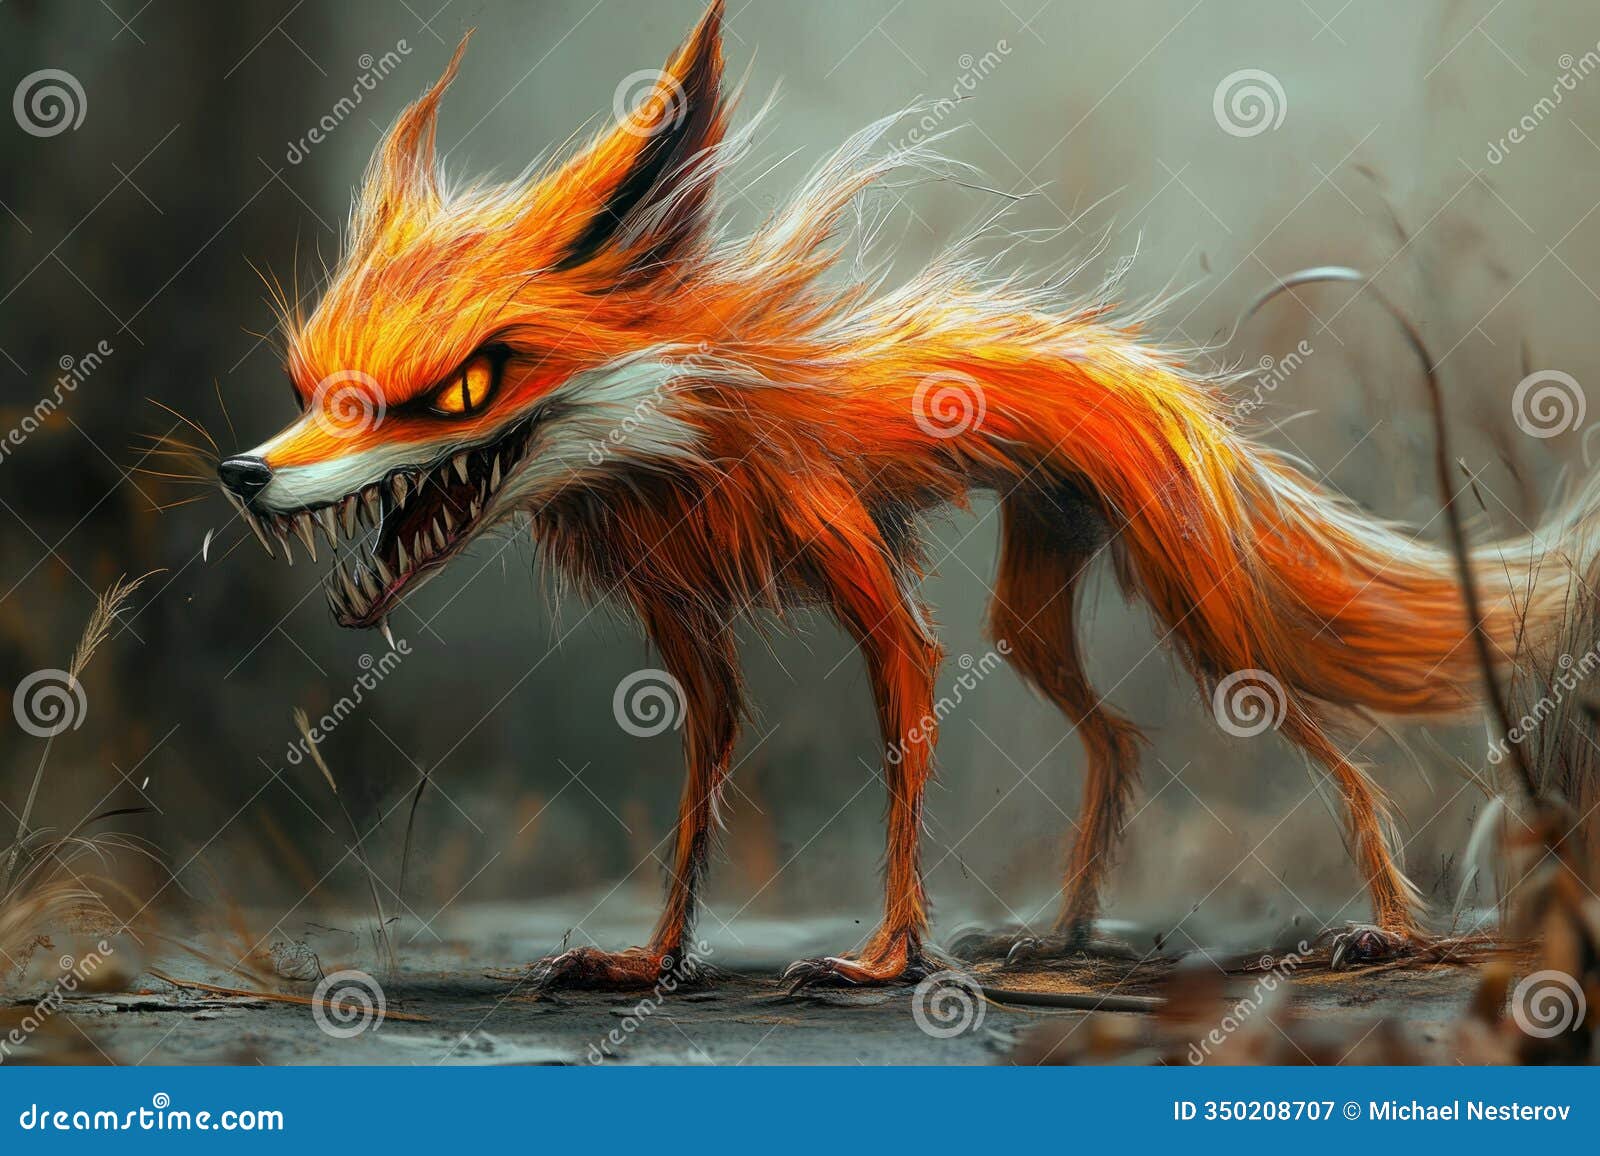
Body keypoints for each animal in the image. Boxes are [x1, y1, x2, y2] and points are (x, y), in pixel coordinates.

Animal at [217, 1, 1591, 989]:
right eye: (307, 384)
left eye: (463, 387)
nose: (245, 476)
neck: (677, 435)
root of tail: (1128, 371)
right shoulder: (686, 627)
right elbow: (700, 785)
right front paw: (653, 959)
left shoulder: (868, 590)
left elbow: (901, 740)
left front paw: (886, 957)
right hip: (1034, 607)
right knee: (1117, 735)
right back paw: (1063, 933)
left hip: (1203, 623)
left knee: (1334, 751)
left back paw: (1394, 930)